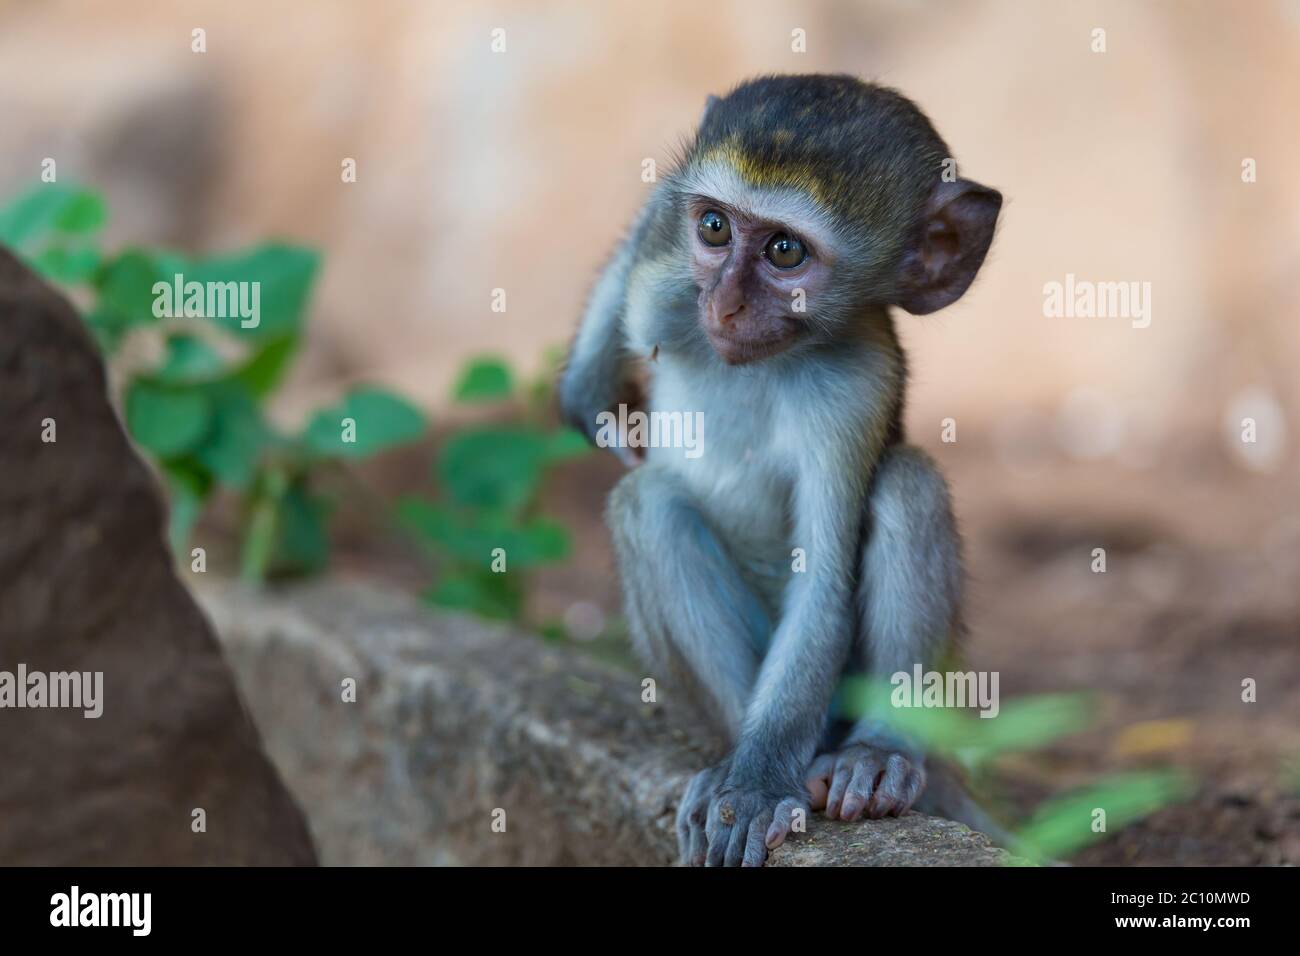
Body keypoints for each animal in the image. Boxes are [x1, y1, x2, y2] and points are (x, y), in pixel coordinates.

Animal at [560, 74, 1005, 867]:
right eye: (714, 228)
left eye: (786, 251)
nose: (725, 305)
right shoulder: (665, 279)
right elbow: (654, 216)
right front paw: (590, 388)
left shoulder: (857, 382)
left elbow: (822, 581)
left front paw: (761, 783)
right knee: (647, 507)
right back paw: (730, 763)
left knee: (907, 486)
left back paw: (878, 754)